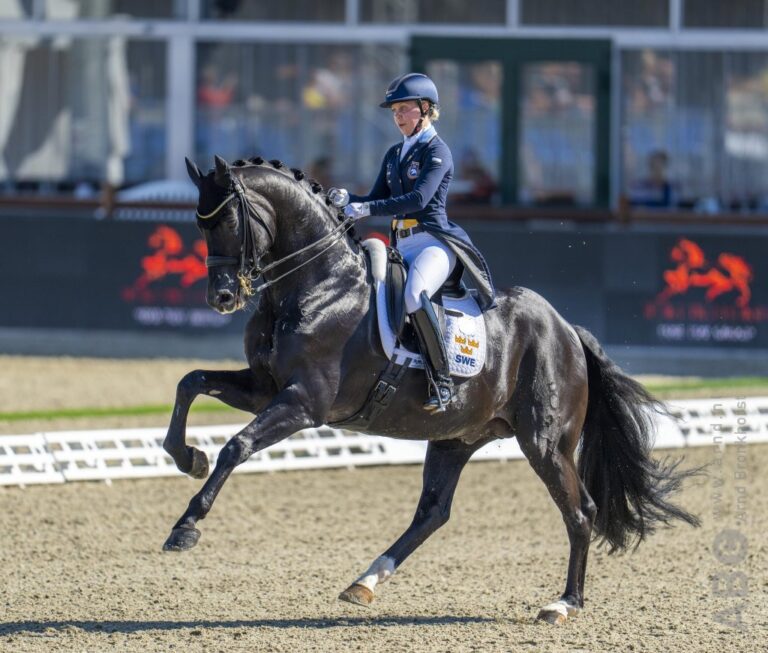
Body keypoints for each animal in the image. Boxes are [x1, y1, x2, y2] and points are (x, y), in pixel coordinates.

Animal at [162, 154, 699, 624]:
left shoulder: (302, 402)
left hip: (544, 443)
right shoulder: (263, 386)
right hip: (456, 437)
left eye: (230, 219)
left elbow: (238, 445)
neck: (318, 286)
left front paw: (186, 527)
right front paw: (187, 457)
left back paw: (563, 604)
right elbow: (191, 382)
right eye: (200, 224)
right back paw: (364, 583)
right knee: (433, 512)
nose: (222, 297)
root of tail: (567, 329)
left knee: (580, 511)